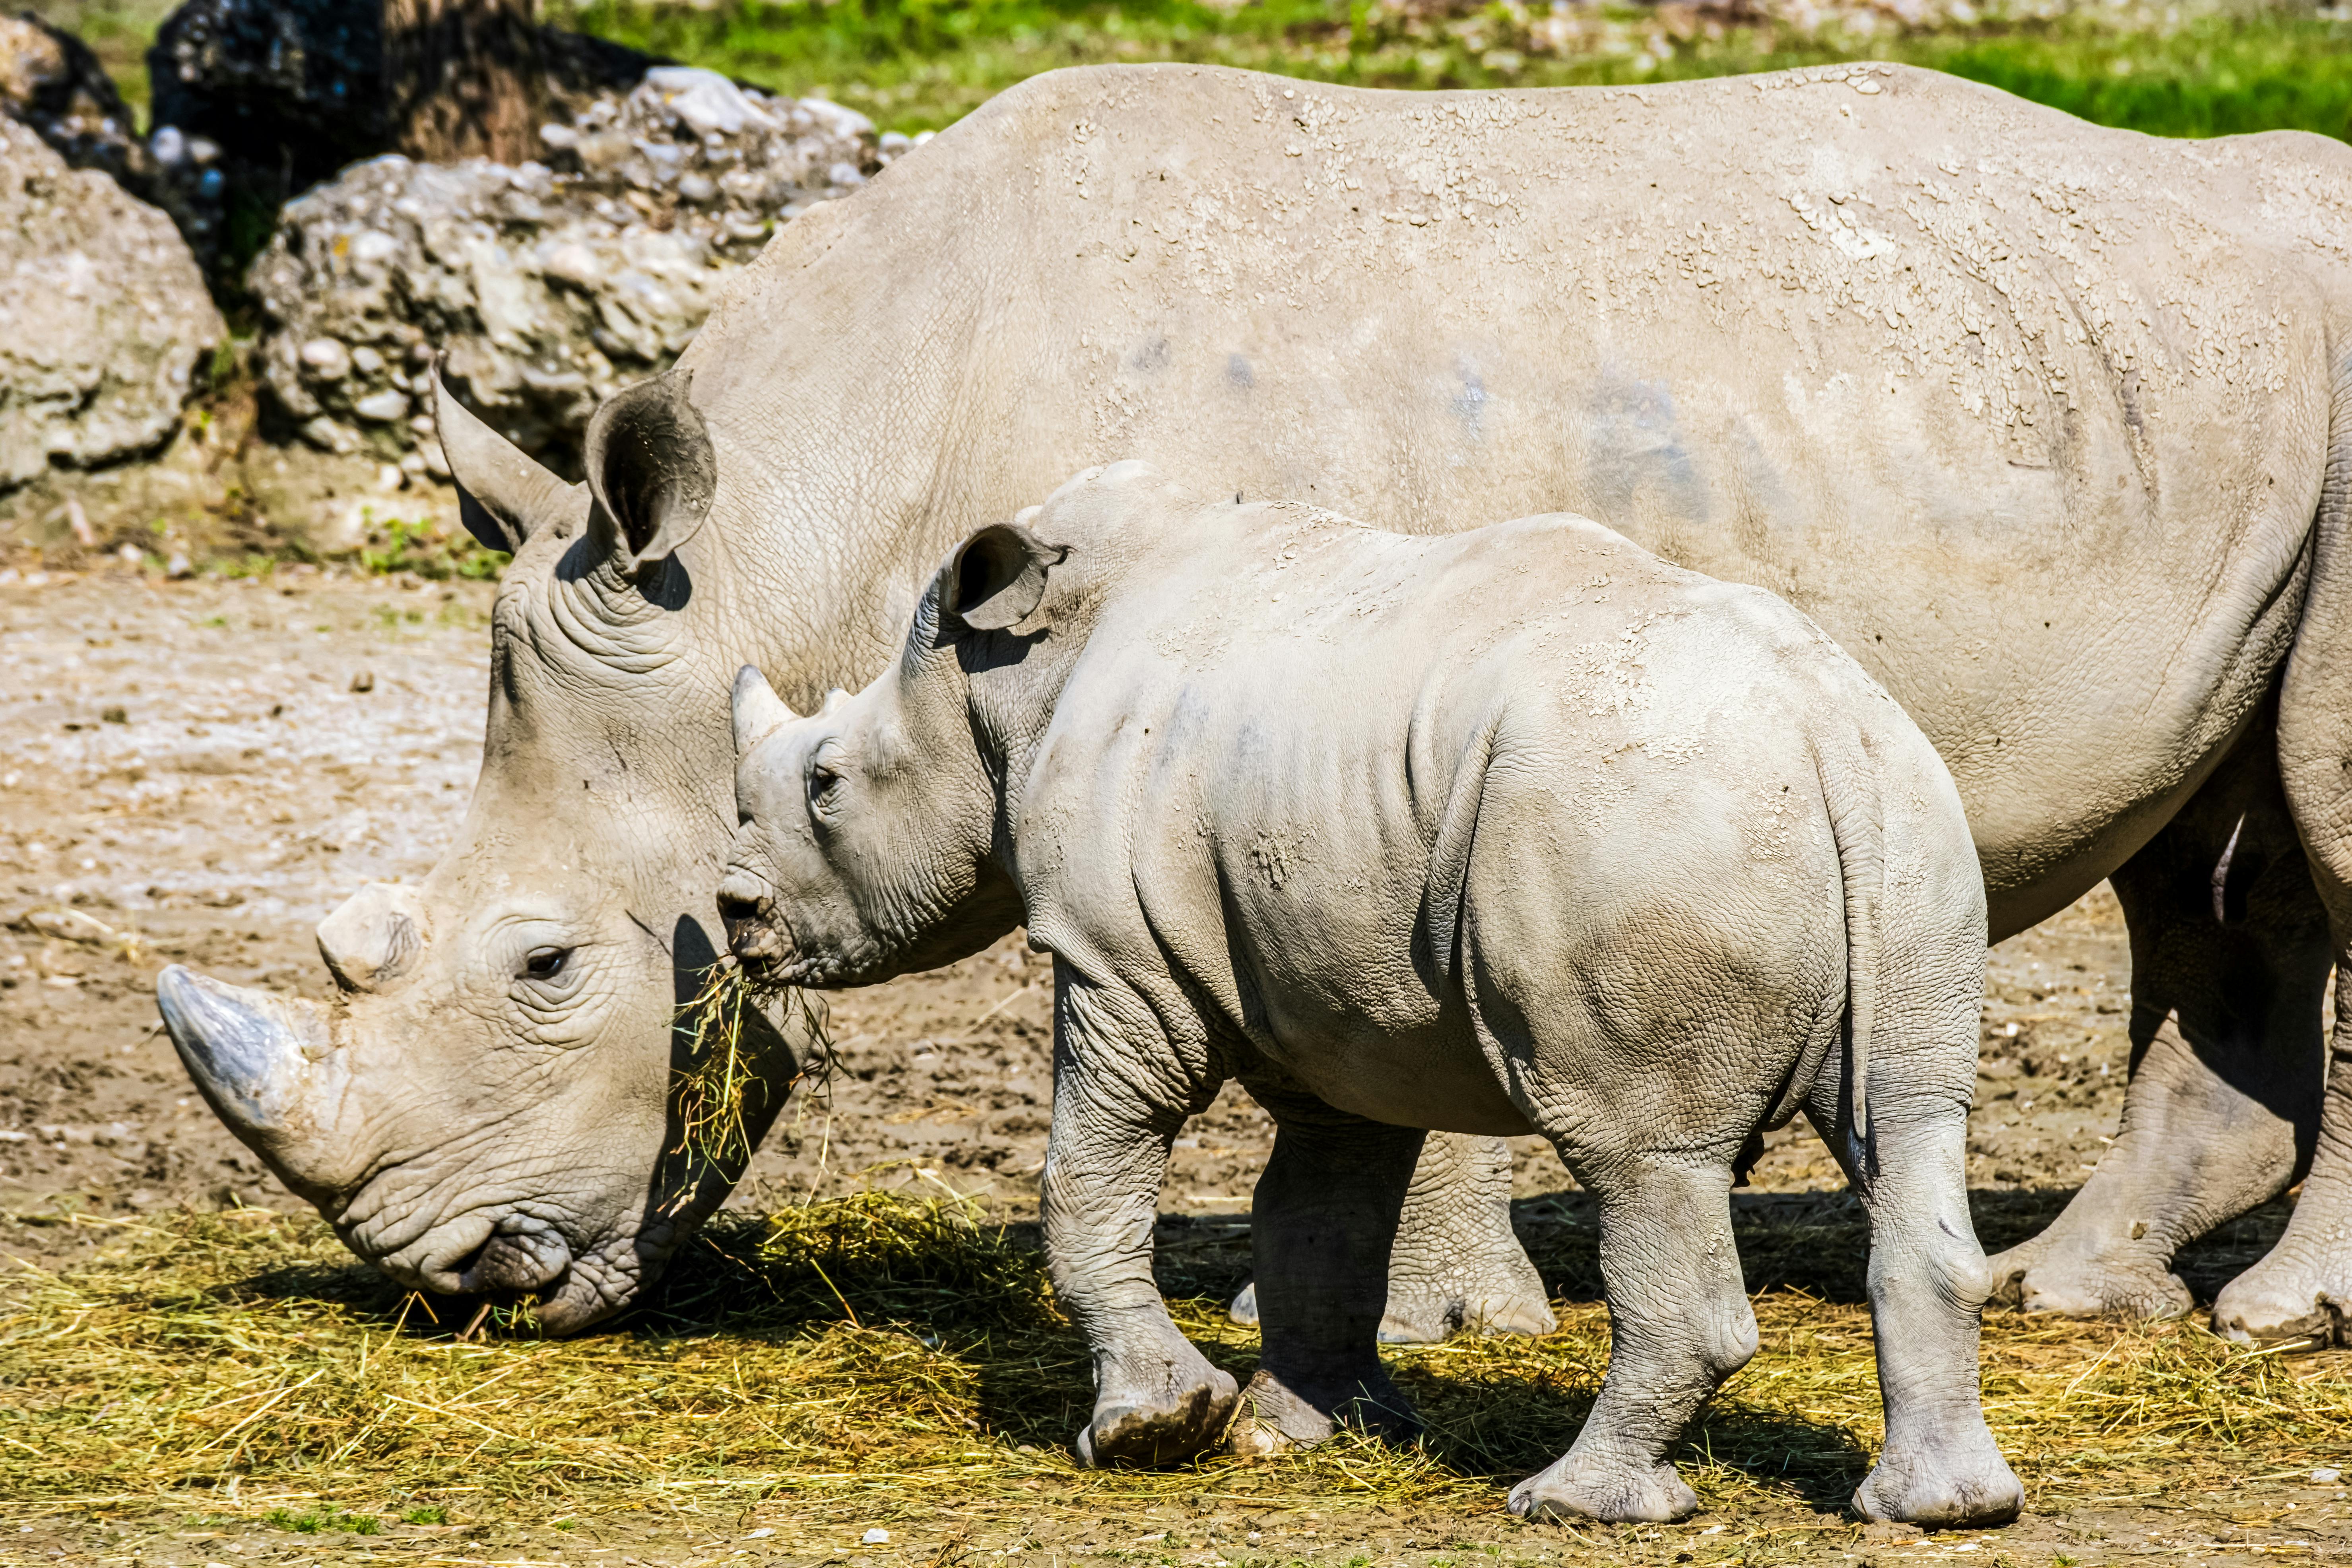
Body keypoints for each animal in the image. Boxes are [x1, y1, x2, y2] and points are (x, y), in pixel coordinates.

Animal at [159, 61, 2352, 1346]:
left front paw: (1444, 1328)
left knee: (2311, 825)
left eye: (542, 963)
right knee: (2217, 860)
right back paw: (2071, 1292)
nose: (447, 1277)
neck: (801, 527)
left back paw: (2271, 1322)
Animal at [717, 462, 2023, 1526]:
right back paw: (1939, 1510)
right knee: (1907, 1124)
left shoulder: (1118, 962)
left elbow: (1089, 1175)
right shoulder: (1338, 1001)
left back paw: (1568, 1504)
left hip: (1634, 822)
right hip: (1903, 815)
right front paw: (1310, 1429)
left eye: (825, 783)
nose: (733, 915)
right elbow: (1319, 1211)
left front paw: (1152, 1432)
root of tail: (1822, 728)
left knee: (1644, 1156)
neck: (1002, 684)